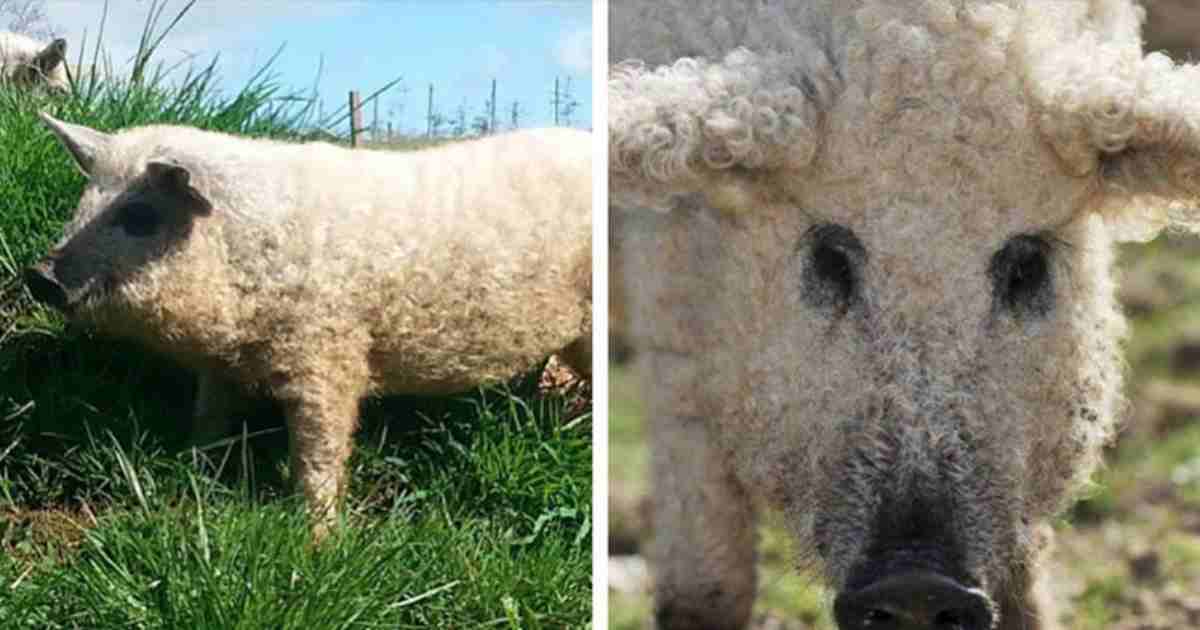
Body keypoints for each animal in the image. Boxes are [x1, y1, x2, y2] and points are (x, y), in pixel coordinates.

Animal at [25, 114, 592, 534]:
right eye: (83, 203)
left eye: (140, 216)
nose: (38, 275)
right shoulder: (222, 365)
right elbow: (209, 416)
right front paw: (196, 470)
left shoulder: (329, 351)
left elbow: (319, 448)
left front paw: (318, 538)